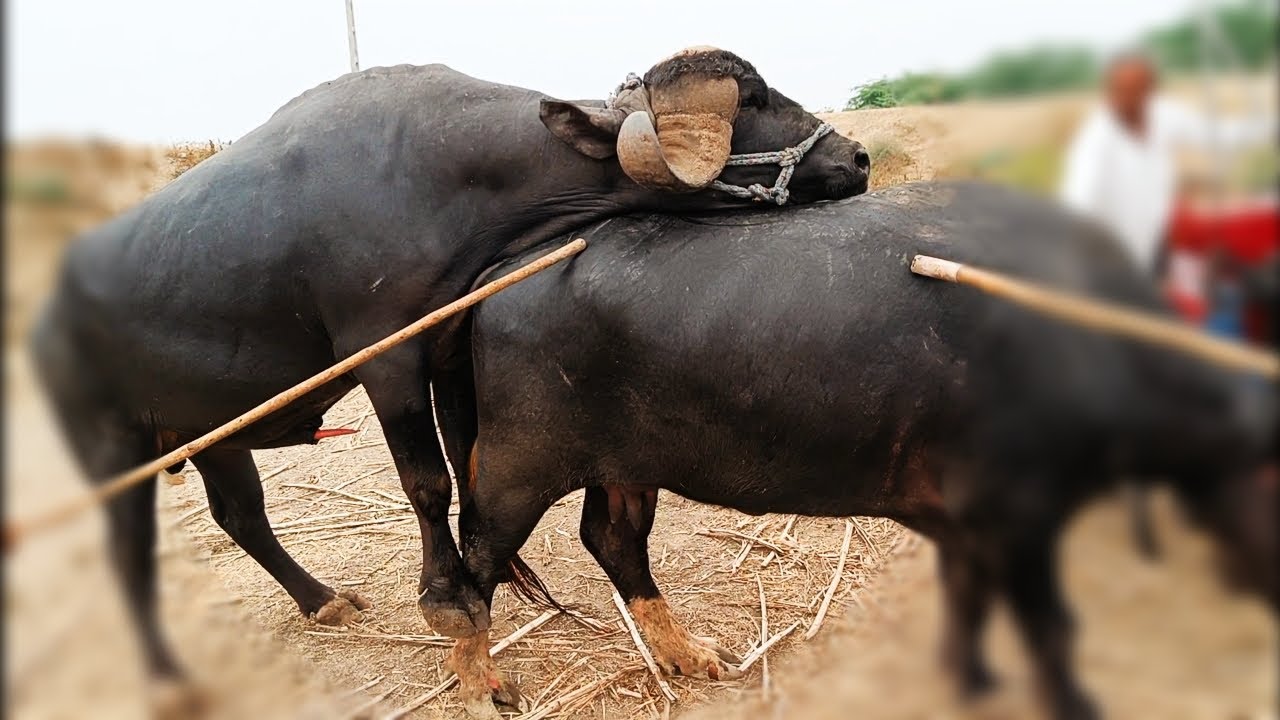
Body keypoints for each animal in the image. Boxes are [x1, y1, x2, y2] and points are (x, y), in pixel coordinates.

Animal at [29, 47, 870, 712]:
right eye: (751, 99)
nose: (857, 158)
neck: (450, 177)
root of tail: (45, 319)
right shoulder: (384, 354)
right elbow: (430, 482)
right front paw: (450, 606)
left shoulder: (441, 355)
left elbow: (466, 471)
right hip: (113, 442)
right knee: (129, 550)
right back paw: (167, 675)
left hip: (211, 431)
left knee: (241, 515)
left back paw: (321, 601)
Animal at [447, 181, 1277, 720]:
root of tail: (500, 272)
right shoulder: (1018, 513)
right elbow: (1049, 628)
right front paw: (1073, 703)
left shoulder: (966, 522)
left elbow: (969, 599)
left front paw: (972, 681)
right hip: (521, 465)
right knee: (475, 556)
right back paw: (484, 682)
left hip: (628, 466)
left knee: (612, 538)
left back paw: (688, 654)